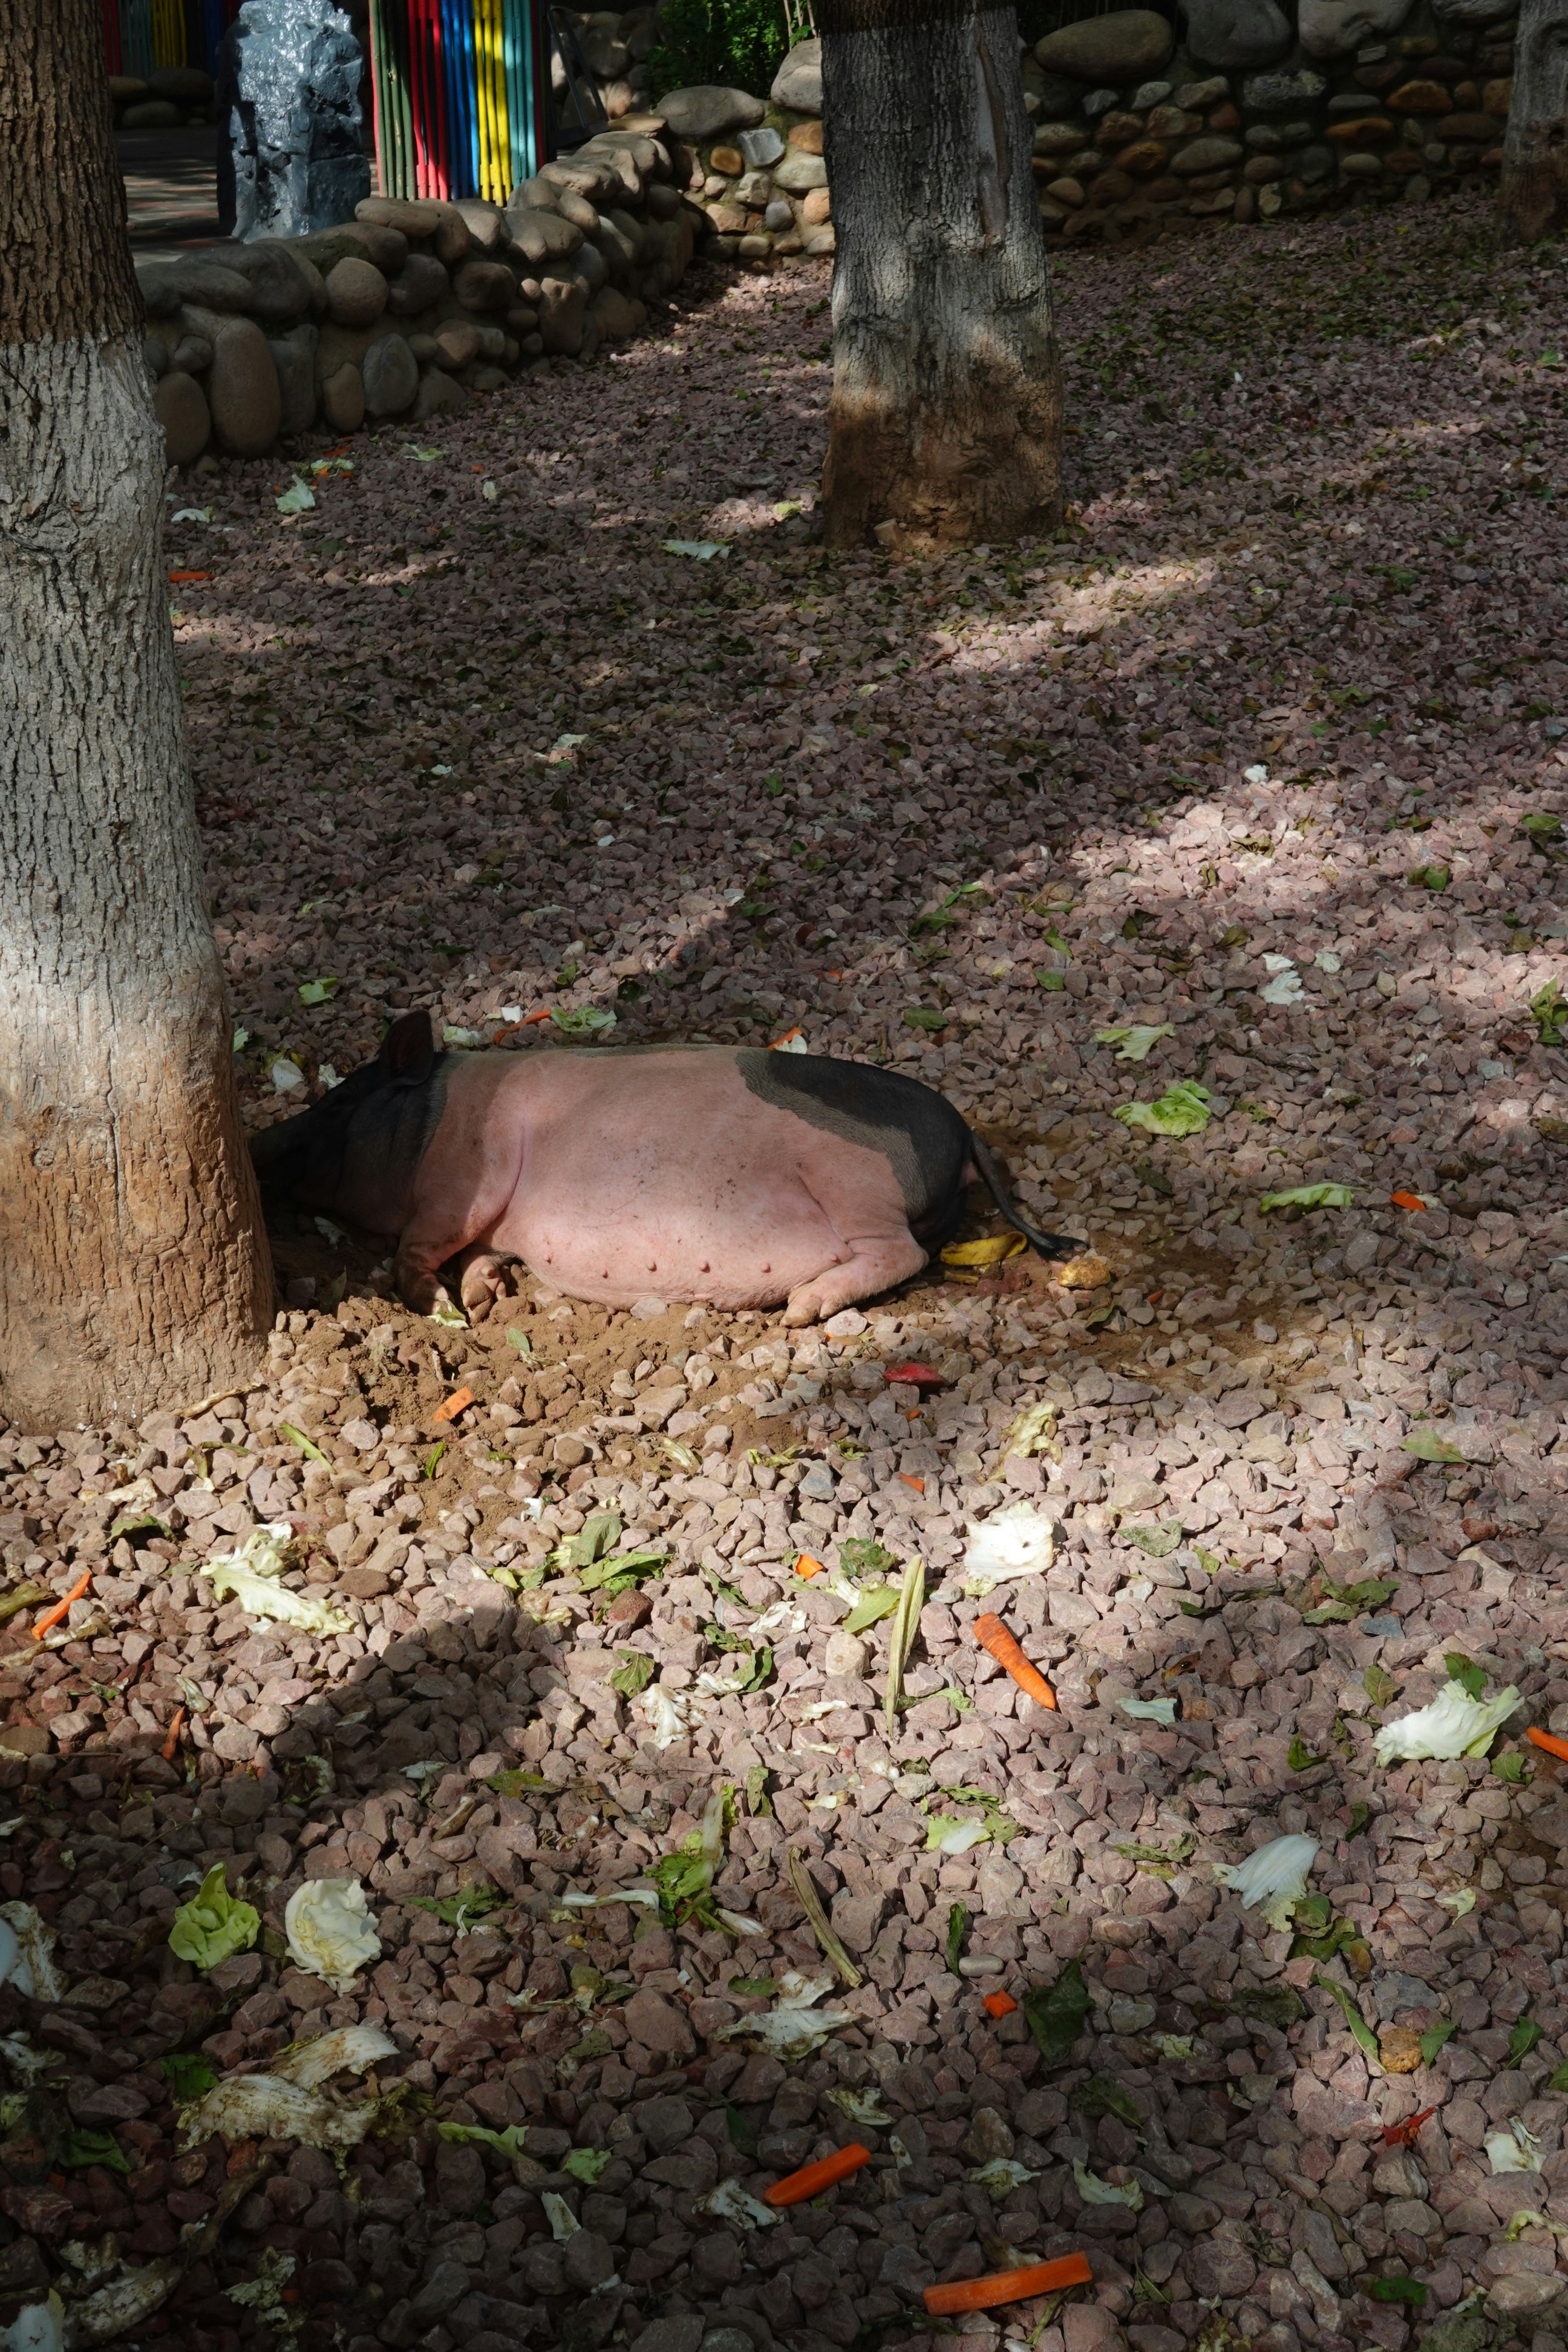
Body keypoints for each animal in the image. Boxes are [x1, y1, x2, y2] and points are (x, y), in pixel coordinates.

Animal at [249, 1009, 1077, 1325]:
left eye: (337, 1103)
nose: (255, 1146)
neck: (435, 1119)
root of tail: (963, 1135)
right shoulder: (488, 1217)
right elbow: (480, 1250)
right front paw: (487, 1296)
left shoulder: (463, 1179)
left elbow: (419, 1245)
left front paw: (449, 1309)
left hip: (858, 1183)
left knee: (900, 1252)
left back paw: (802, 1306)